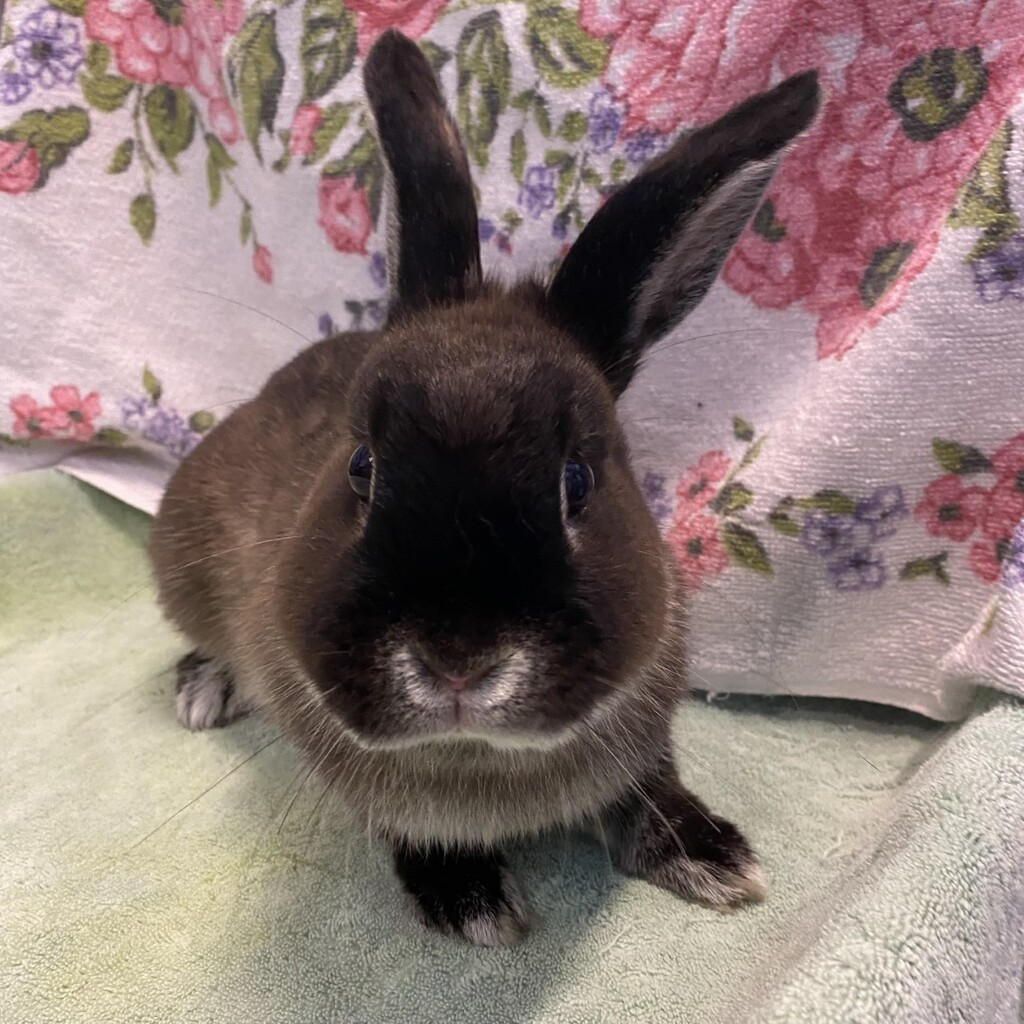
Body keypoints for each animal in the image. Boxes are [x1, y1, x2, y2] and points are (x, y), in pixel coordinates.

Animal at [150, 28, 820, 947]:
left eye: (578, 480)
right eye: (361, 467)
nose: (458, 663)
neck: (482, 757)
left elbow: (651, 789)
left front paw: (716, 859)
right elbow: (418, 833)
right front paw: (473, 903)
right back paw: (203, 689)